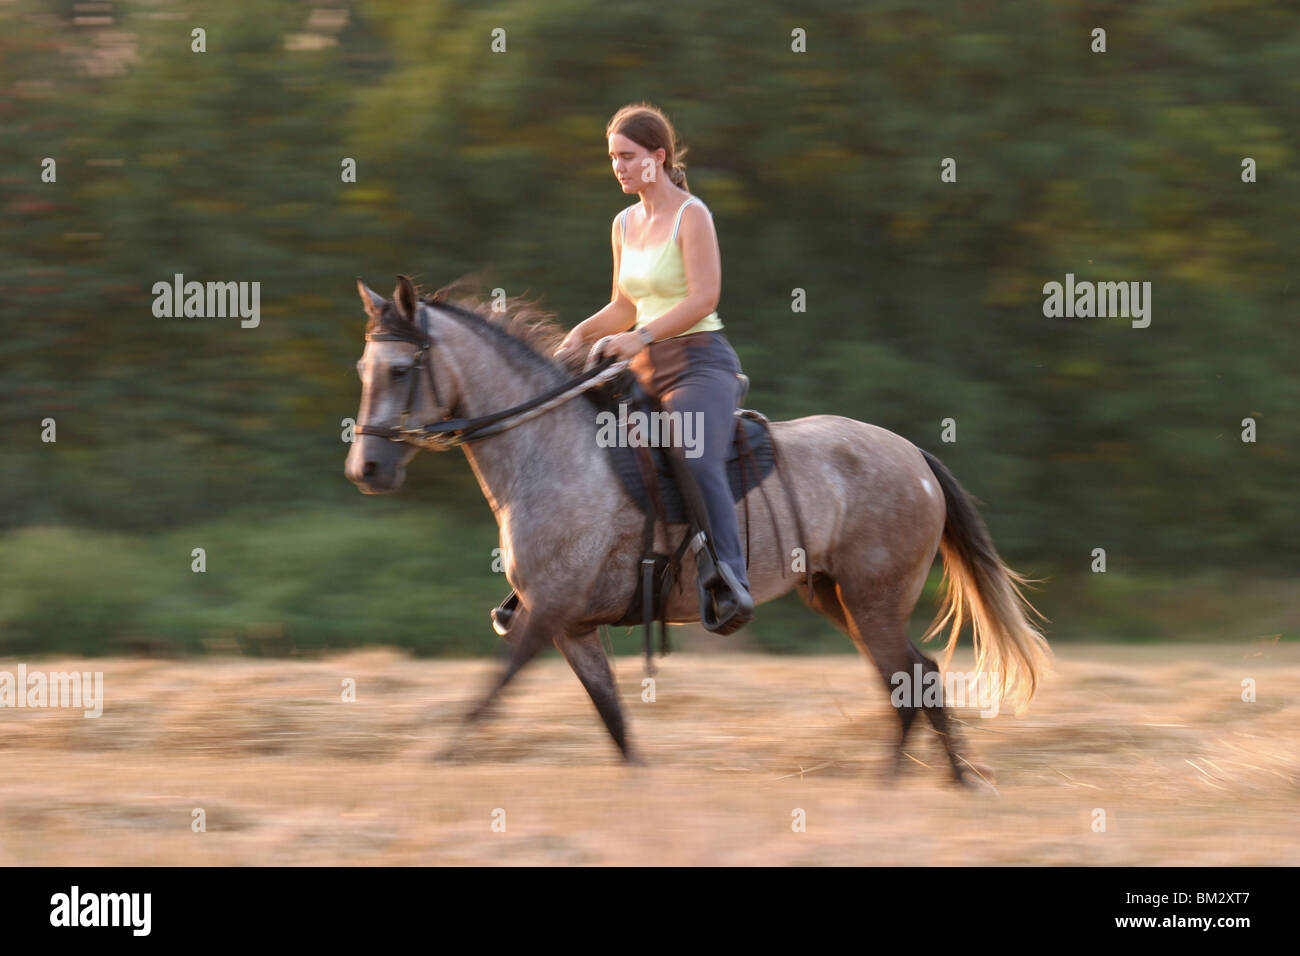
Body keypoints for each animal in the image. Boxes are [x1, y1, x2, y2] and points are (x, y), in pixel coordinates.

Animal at [345, 276, 1051, 788]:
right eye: (363, 369)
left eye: (402, 369)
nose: (367, 468)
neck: (548, 451)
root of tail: (915, 457)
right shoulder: (573, 628)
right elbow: (614, 720)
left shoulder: (548, 612)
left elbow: (491, 690)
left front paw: (437, 763)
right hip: (840, 598)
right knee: (914, 678)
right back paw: (943, 783)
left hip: (872, 600)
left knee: (910, 680)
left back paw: (904, 785)